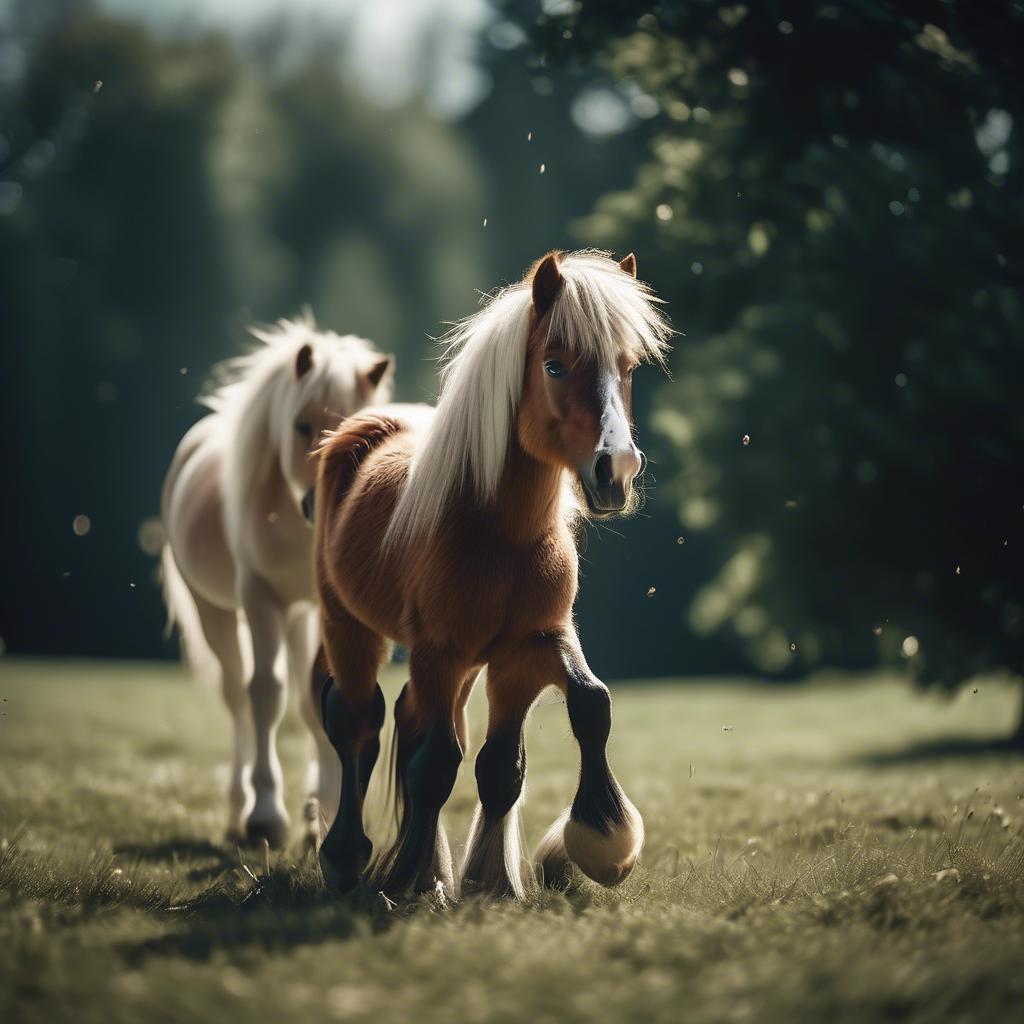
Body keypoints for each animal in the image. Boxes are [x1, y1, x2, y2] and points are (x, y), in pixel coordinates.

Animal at [160, 316, 393, 848]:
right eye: (300, 425)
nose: (322, 503)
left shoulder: (328, 610)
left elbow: (328, 696)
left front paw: (325, 814)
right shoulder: (260, 598)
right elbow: (264, 693)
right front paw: (266, 816)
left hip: (301, 616)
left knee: (306, 702)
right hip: (217, 611)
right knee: (237, 698)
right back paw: (238, 808)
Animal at [311, 249, 671, 897]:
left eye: (627, 367)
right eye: (555, 365)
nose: (617, 469)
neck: (502, 535)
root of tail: (355, 431)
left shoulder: (530, 648)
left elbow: (545, 737)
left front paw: (518, 873)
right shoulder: (440, 650)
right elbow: (435, 765)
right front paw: (411, 880)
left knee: (411, 722)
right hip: (349, 627)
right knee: (357, 723)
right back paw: (348, 857)